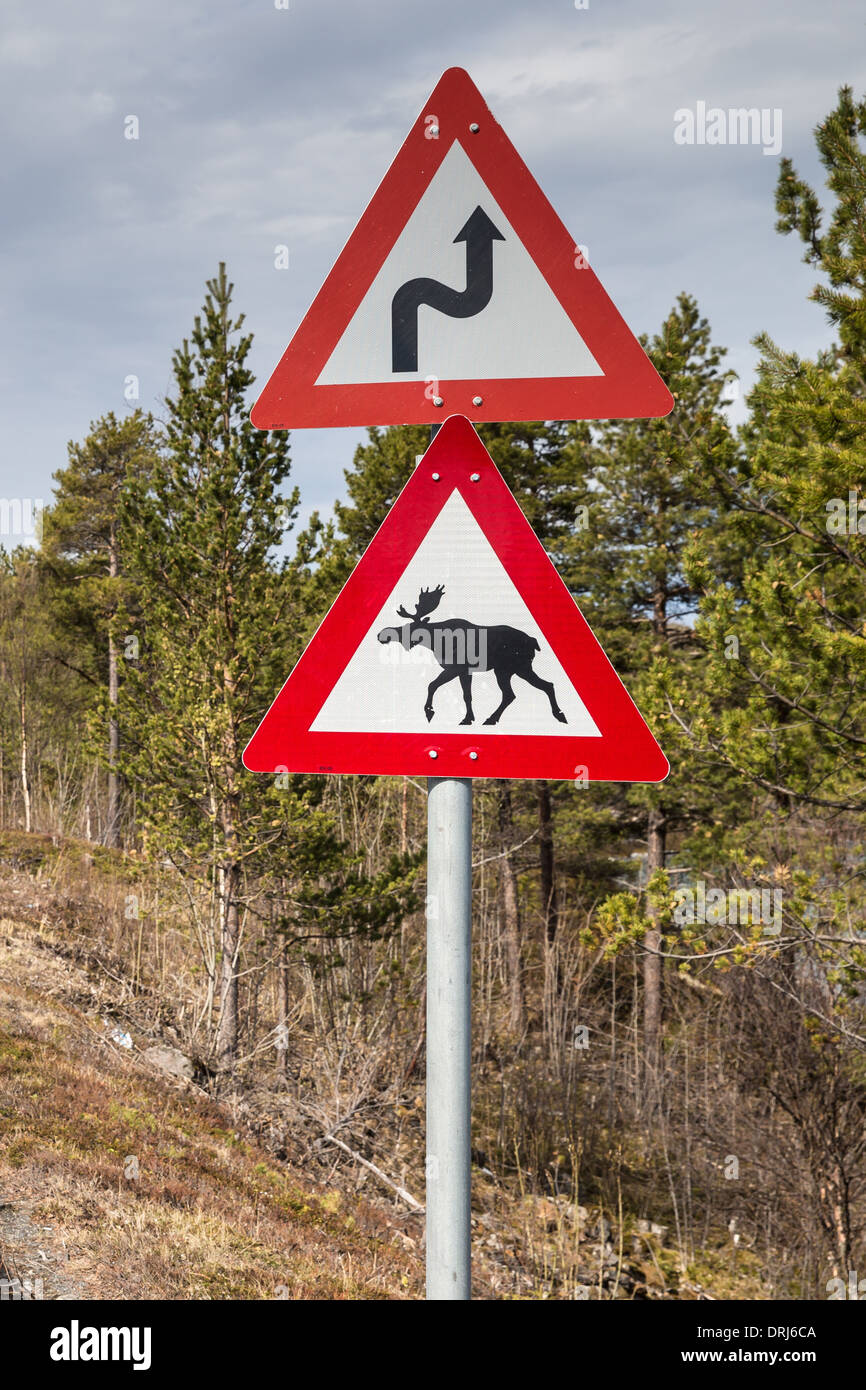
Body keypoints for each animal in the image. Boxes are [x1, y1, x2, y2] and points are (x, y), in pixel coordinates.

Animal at [377, 585, 567, 727]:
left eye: (409, 627)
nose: (382, 634)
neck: (436, 641)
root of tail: (533, 641)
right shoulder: (465, 671)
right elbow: (466, 695)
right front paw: (468, 718)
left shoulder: (456, 667)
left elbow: (433, 685)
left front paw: (430, 712)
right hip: (514, 669)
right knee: (533, 688)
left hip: (513, 668)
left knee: (522, 691)